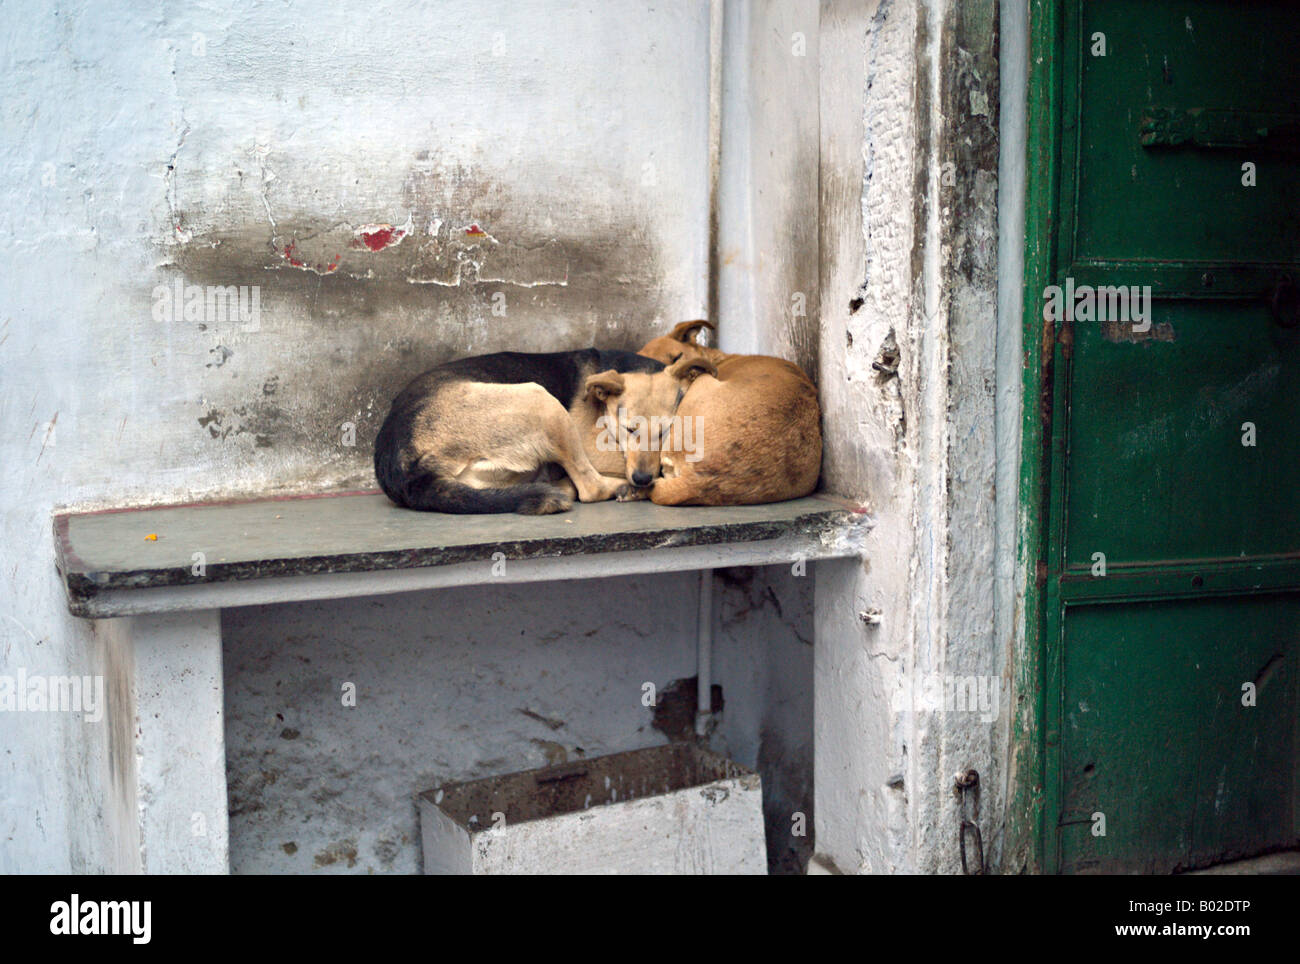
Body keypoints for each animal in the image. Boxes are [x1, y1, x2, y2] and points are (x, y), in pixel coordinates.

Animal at [371, 348, 717, 514]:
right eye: (628, 429)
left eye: (667, 432)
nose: (642, 478)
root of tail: (405, 470)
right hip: (543, 403)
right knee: (590, 488)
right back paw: (621, 489)